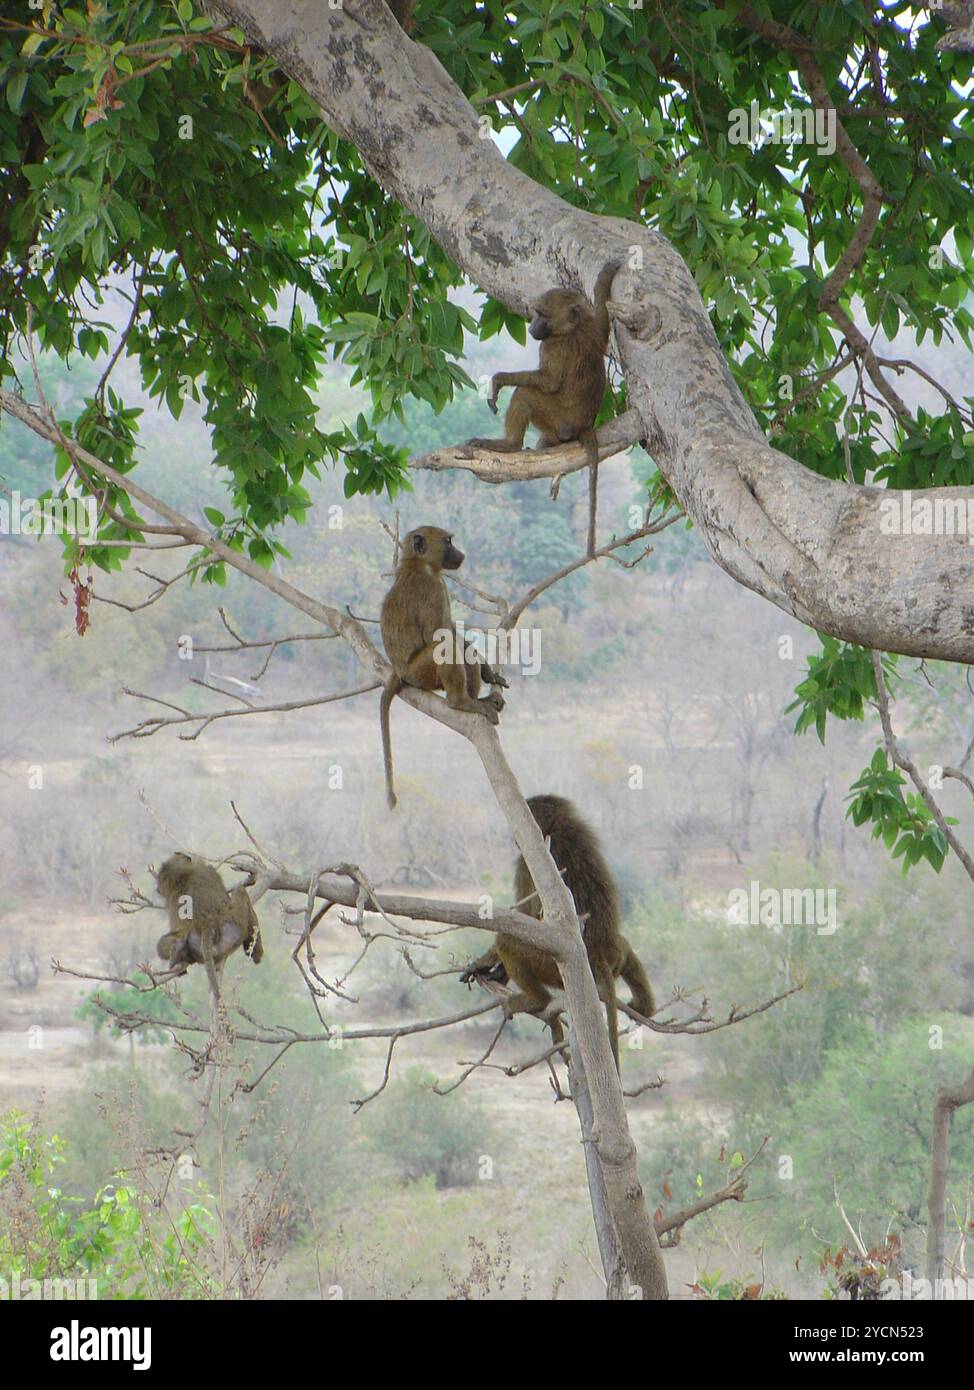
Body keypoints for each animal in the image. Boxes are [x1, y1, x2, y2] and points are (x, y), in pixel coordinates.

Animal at [155, 854, 263, 992]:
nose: (157, 889)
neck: (185, 874)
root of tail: (207, 925)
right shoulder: (209, 871)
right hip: (232, 927)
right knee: (240, 891)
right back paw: (256, 951)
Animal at [379, 525, 508, 810]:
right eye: (448, 542)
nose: (461, 554)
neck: (419, 564)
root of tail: (399, 671)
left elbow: (452, 630)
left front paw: (487, 670)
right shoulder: (433, 590)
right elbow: (439, 636)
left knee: (462, 653)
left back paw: (479, 698)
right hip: (419, 673)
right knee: (447, 648)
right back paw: (461, 701)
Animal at [461, 794, 655, 1072]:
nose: (515, 839)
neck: (558, 827)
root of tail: (599, 952)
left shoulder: (527, 863)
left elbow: (525, 919)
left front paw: (488, 963)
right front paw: (496, 971)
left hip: (551, 968)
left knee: (508, 942)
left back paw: (536, 1001)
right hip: (613, 955)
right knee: (626, 950)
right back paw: (645, 1005)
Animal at [466, 259, 622, 555]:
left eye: (543, 315)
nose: (532, 328)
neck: (571, 328)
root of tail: (585, 426)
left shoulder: (552, 345)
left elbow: (548, 381)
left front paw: (499, 380)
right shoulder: (593, 326)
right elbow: (603, 320)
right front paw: (604, 279)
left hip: (559, 422)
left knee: (526, 394)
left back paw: (509, 445)